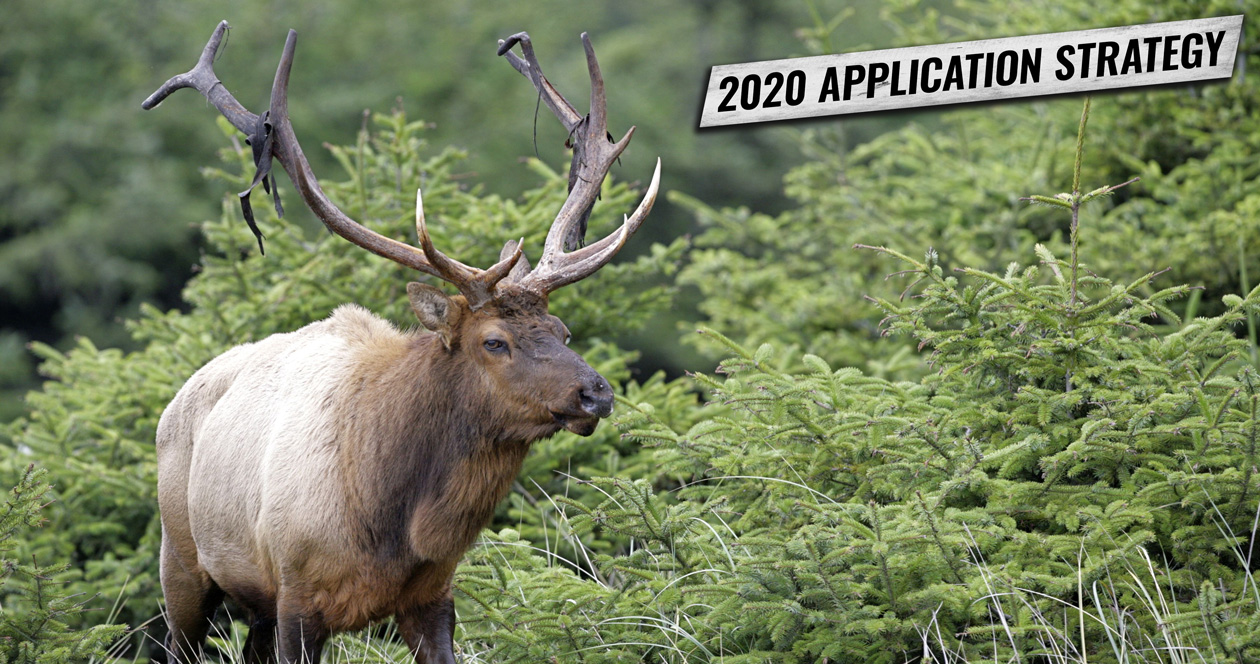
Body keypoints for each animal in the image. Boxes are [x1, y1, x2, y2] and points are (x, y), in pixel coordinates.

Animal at [142, 22, 659, 664]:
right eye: (494, 342)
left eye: (562, 330)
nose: (596, 394)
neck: (393, 527)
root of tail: (177, 397)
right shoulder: (294, 594)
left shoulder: (433, 596)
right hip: (182, 560)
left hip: (249, 601)